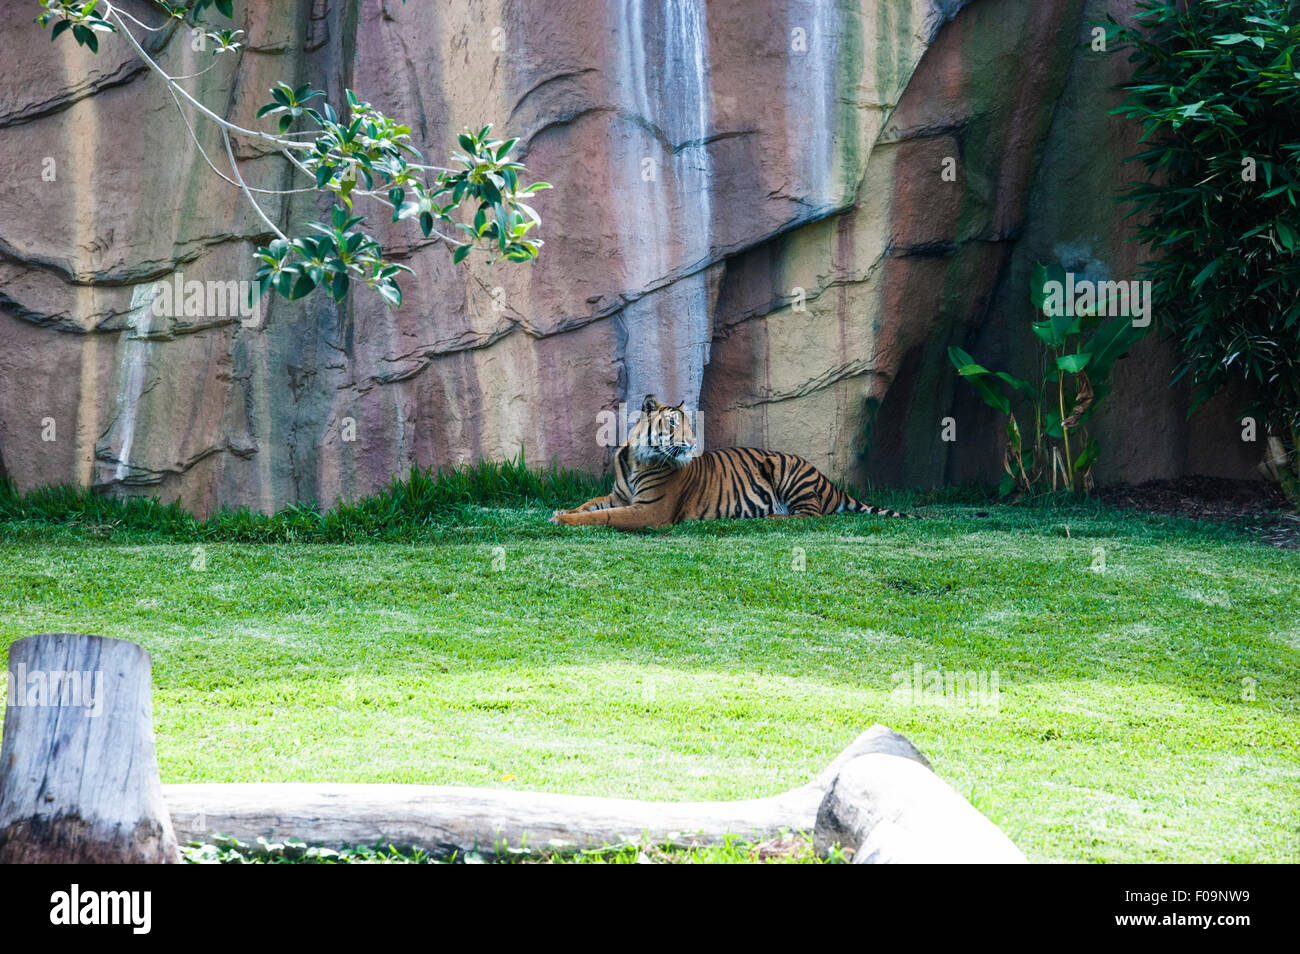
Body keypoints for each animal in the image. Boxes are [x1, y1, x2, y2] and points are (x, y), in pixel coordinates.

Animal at [550, 394, 917, 529]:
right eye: (674, 424)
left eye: (690, 424)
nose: (692, 442)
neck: (639, 458)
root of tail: (831, 483)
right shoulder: (619, 496)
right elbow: (590, 504)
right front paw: (561, 512)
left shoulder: (650, 511)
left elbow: (604, 516)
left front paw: (564, 520)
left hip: (787, 471)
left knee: (809, 516)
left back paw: (771, 517)